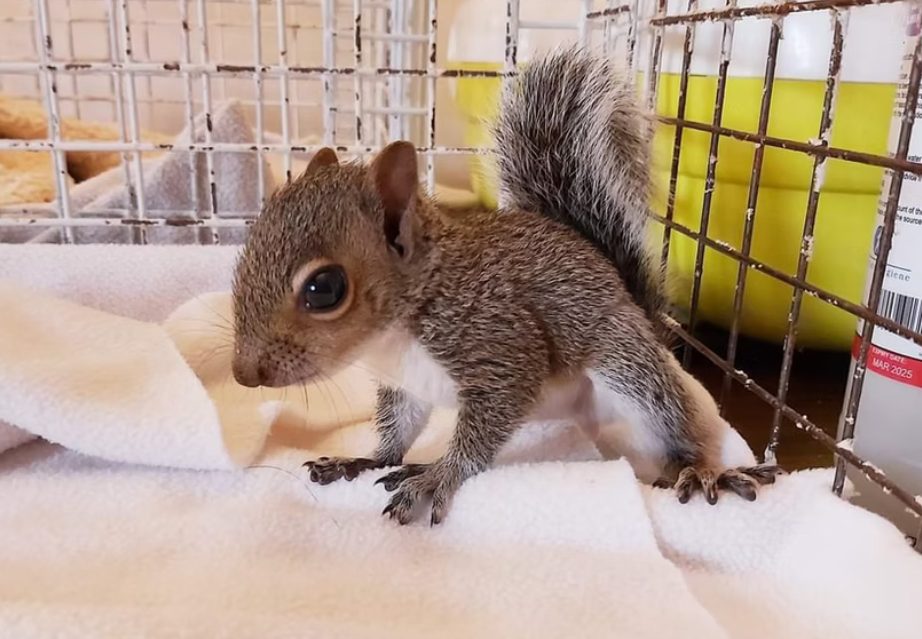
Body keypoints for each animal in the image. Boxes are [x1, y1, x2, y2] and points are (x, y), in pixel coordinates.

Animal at [231, 47, 780, 525]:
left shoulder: (498, 344)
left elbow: (485, 426)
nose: (243, 374)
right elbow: (397, 430)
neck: (396, 335)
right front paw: (363, 460)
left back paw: (700, 470)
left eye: (324, 288)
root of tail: (636, 308)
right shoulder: (405, 387)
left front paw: (438, 475)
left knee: (675, 425)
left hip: (627, 367)